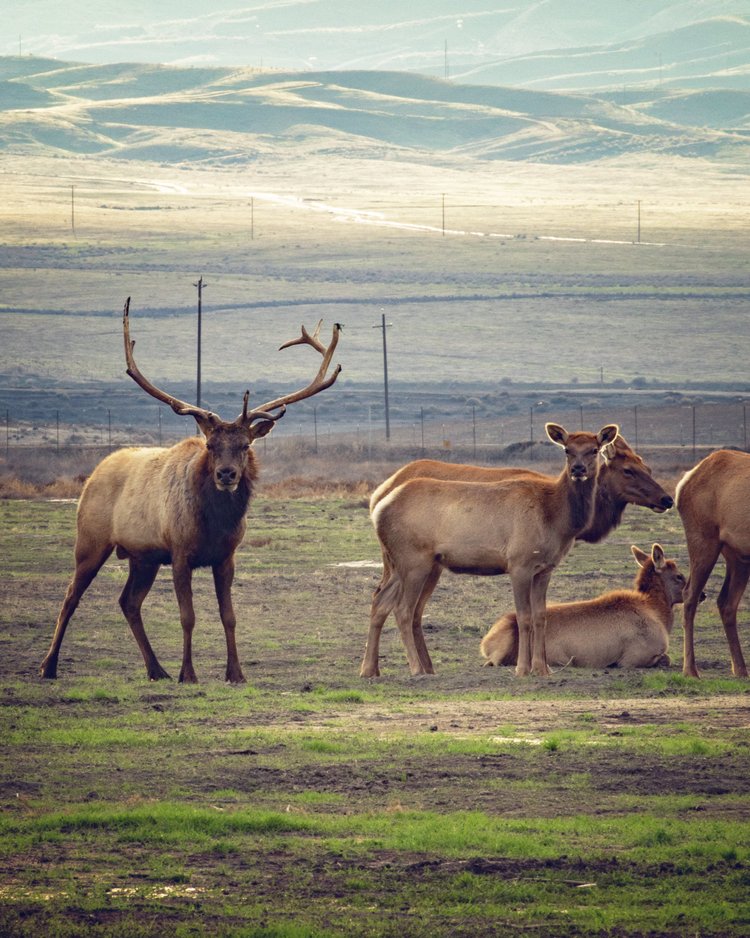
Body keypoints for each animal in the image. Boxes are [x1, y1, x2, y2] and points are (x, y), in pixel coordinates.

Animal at [40, 298, 341, 684]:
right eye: (211, 445)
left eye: (245, 445)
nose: (226, 474)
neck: (215, 524)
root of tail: (94, 474)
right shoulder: (180, 553)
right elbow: (188, 617)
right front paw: (189, 673)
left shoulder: (226, 557)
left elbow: (229, 617)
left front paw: (235, 673)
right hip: (91, 540)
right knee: (70, 596)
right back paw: (49, 666)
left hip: (143, 556)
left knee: (128, 602)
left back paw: (156, 669)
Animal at [480, 544, 688, 669]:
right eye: (679, 576)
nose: (695, 592)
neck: (658, 612)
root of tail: (486, 642)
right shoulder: (634, 657)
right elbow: (666, 658)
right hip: (558, 658)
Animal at [675, 449, 750, 678]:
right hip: (704, 540)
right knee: (690, 595)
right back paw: (690, 669)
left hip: (738, 556)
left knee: (726, 603)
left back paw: (740, 669)